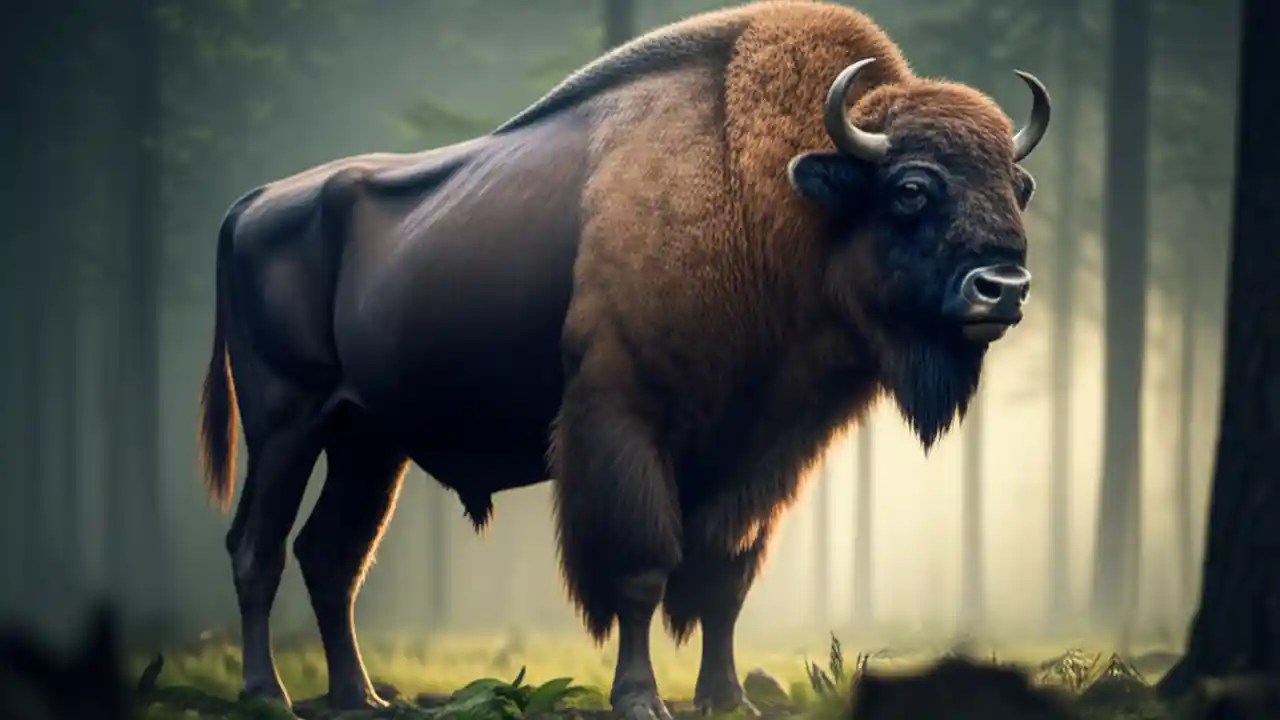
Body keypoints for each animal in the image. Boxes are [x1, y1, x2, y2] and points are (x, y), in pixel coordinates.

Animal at [198, 2, 1050, 718]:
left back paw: (359, 698)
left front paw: (727, 699)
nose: (1003, 288)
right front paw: (640, 699)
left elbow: (723, 581)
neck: (770, 198)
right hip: (286, 424)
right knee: (257, 548)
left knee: (331, 556)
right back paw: (266, 694)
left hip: (369, 443)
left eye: (1018, 185)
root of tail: (256, 202)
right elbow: (641, 570)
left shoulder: (760, 456)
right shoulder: (625, 425)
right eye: (911, 188)